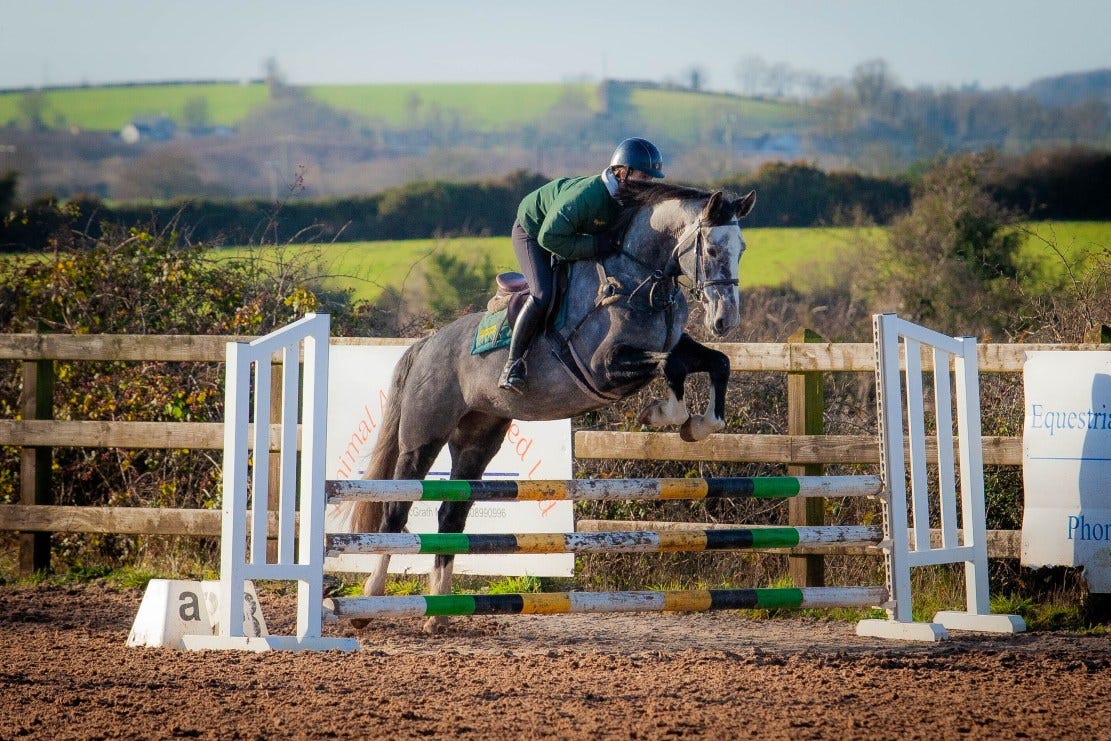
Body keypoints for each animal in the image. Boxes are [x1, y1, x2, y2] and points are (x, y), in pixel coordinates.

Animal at [347, 180, 756, 632]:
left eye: (741, 248)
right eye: (713, 250)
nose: (725, 321)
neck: (640, 282)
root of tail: (427, 345)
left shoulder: (671, 346)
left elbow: (716, 362)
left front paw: (698, 426)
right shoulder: (602, 367)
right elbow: (671, 365)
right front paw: (665, 414)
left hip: (477, 441)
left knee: (451, 516)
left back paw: (437, 614)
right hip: (422, 438)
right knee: (395, 513)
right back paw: (368, 604)